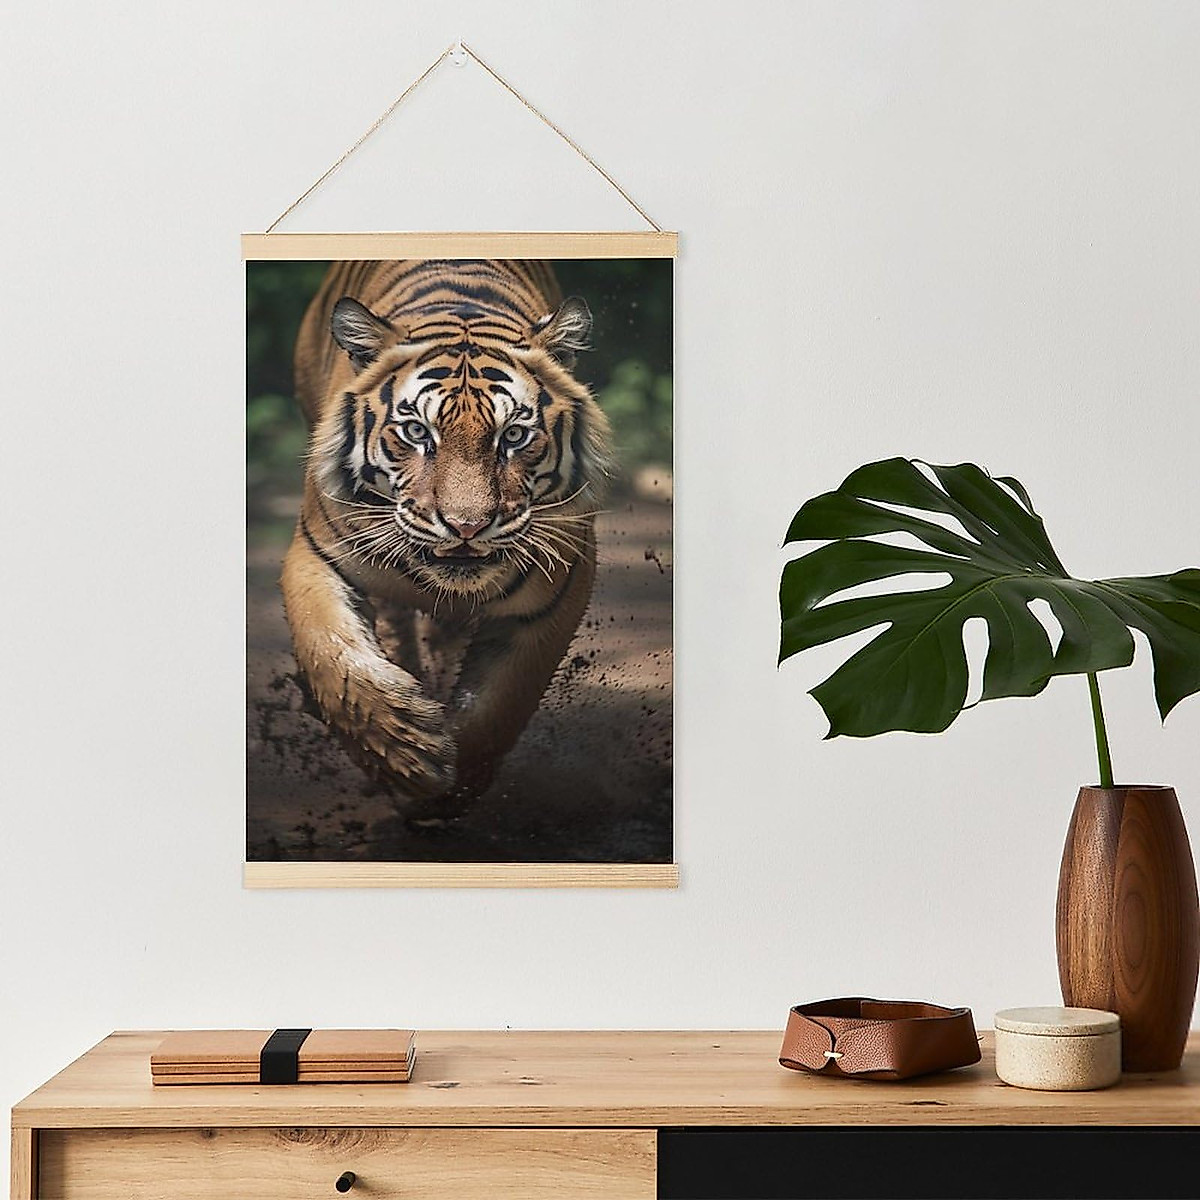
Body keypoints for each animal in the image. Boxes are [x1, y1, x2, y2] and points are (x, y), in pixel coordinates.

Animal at [281, 259, 611, 807]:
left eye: (513, 435)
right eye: (417, 432)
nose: (466, 525)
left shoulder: (558, 586)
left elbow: (500, 705)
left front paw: (450, 789)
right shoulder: (317, 554)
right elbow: (333, 654)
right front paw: (405, 754)